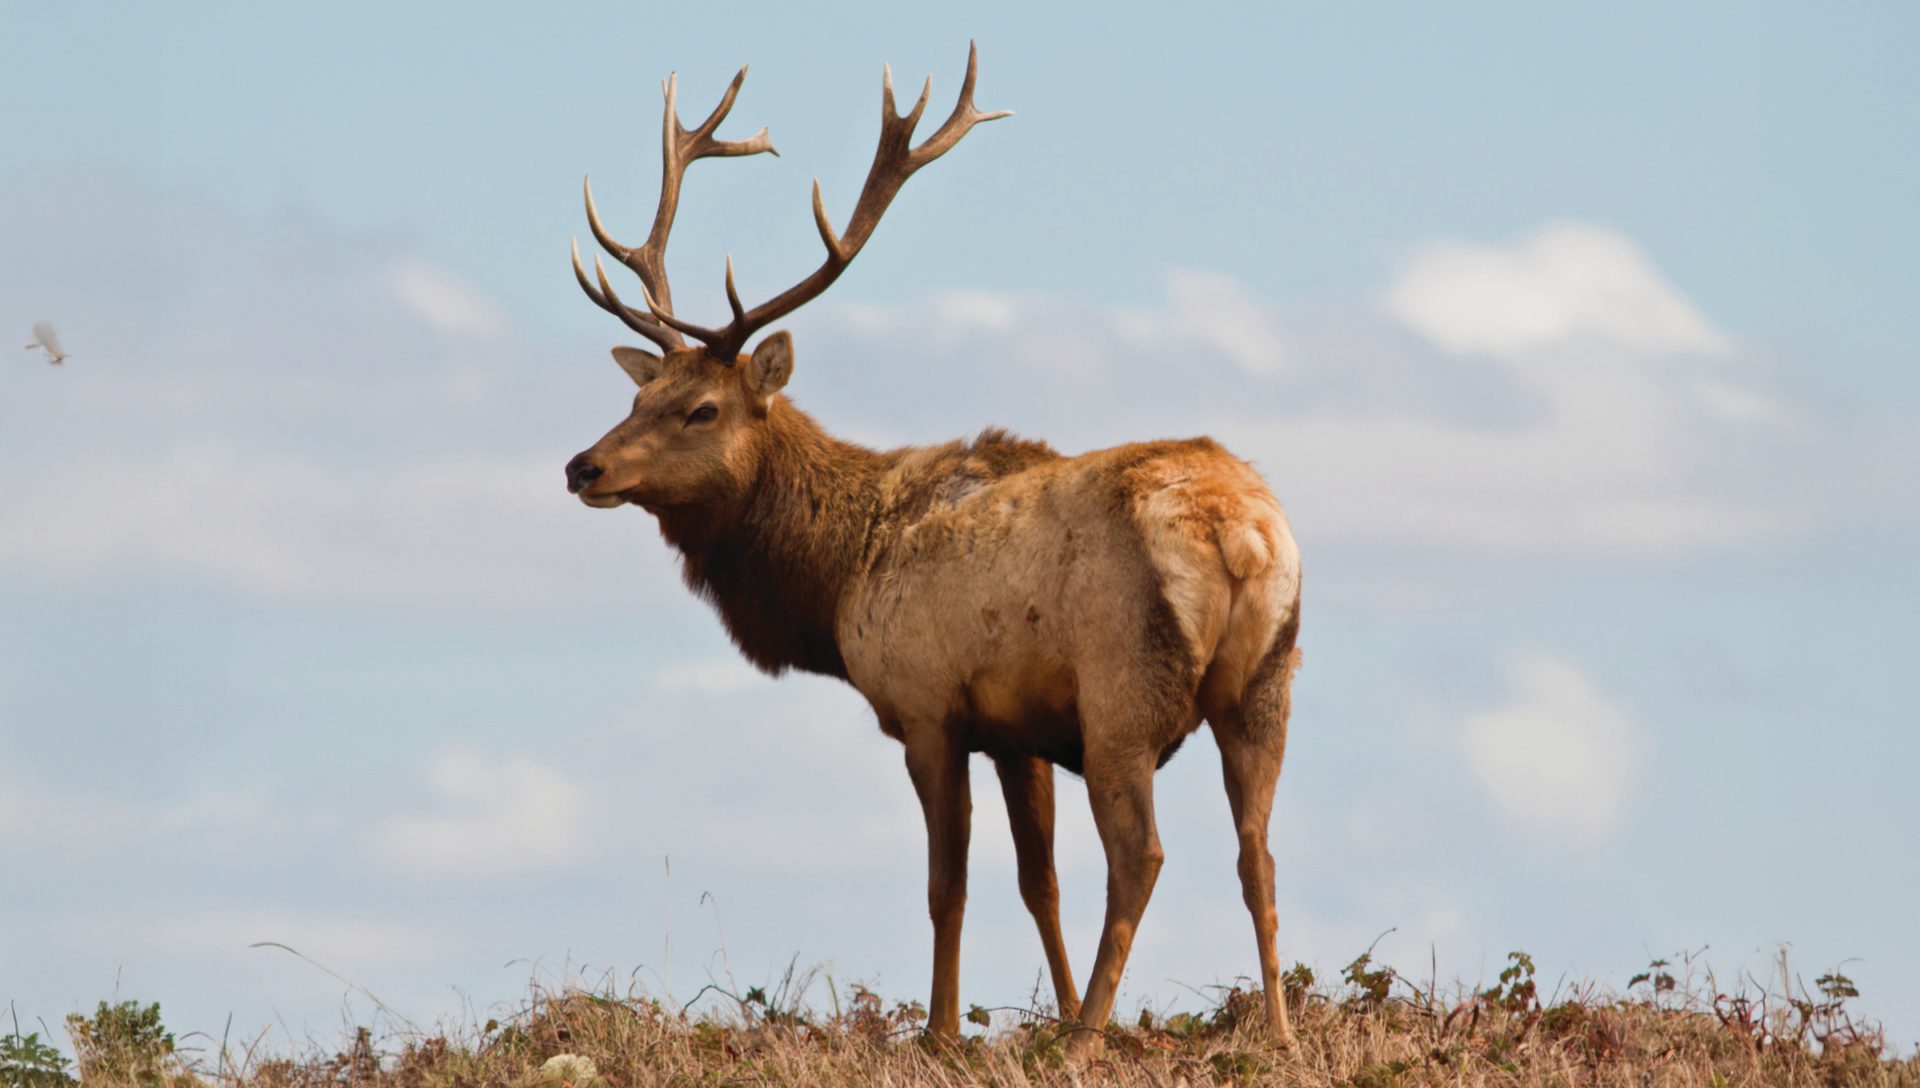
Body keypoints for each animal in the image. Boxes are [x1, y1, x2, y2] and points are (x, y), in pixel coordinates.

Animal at [562, 44, 1303, 1055]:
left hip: (1123, 687)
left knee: (1143, 856)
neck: (835, 581)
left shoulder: (927, 705)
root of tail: (1238, 532)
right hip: (1265, 683)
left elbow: (945, 885)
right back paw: (1278, 1034)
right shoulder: (1019, 727)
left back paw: (1088, 1040)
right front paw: (1042, 1013)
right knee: (1257, 853)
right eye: (639, 398)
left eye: (702, 408)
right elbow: (1039, 882)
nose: (582, 465)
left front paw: (944, 1032)